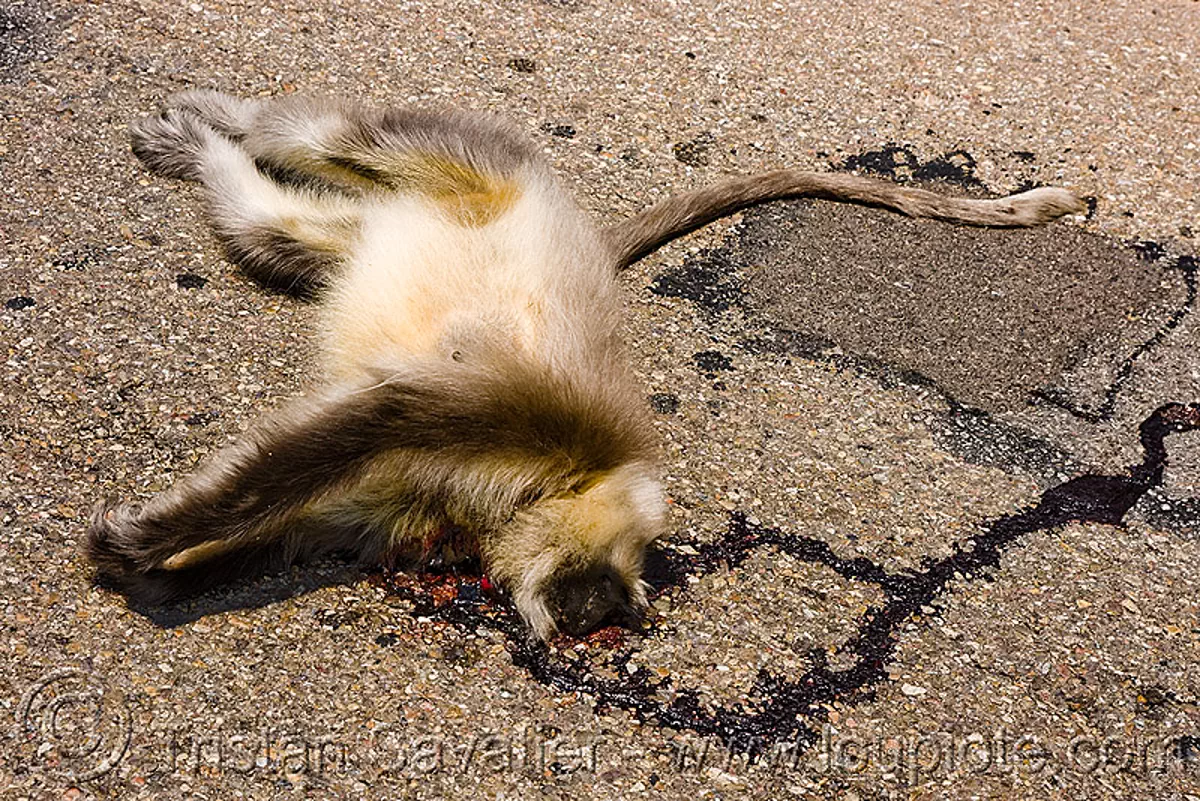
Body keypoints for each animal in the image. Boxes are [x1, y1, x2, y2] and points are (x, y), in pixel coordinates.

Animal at [85, 90, 1087, 640]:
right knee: (334, 137)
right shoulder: (539, 416)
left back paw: (204, 151)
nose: (582, 611)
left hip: (379, 218)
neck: (538, 488)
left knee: (269, 227)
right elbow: (379, 418)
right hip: (483, 167)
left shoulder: (405, 504)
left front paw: (168, 568)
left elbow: (297, 522)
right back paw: (231, 123)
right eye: (598, 588)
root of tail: (576, 225)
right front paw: (138, 545)